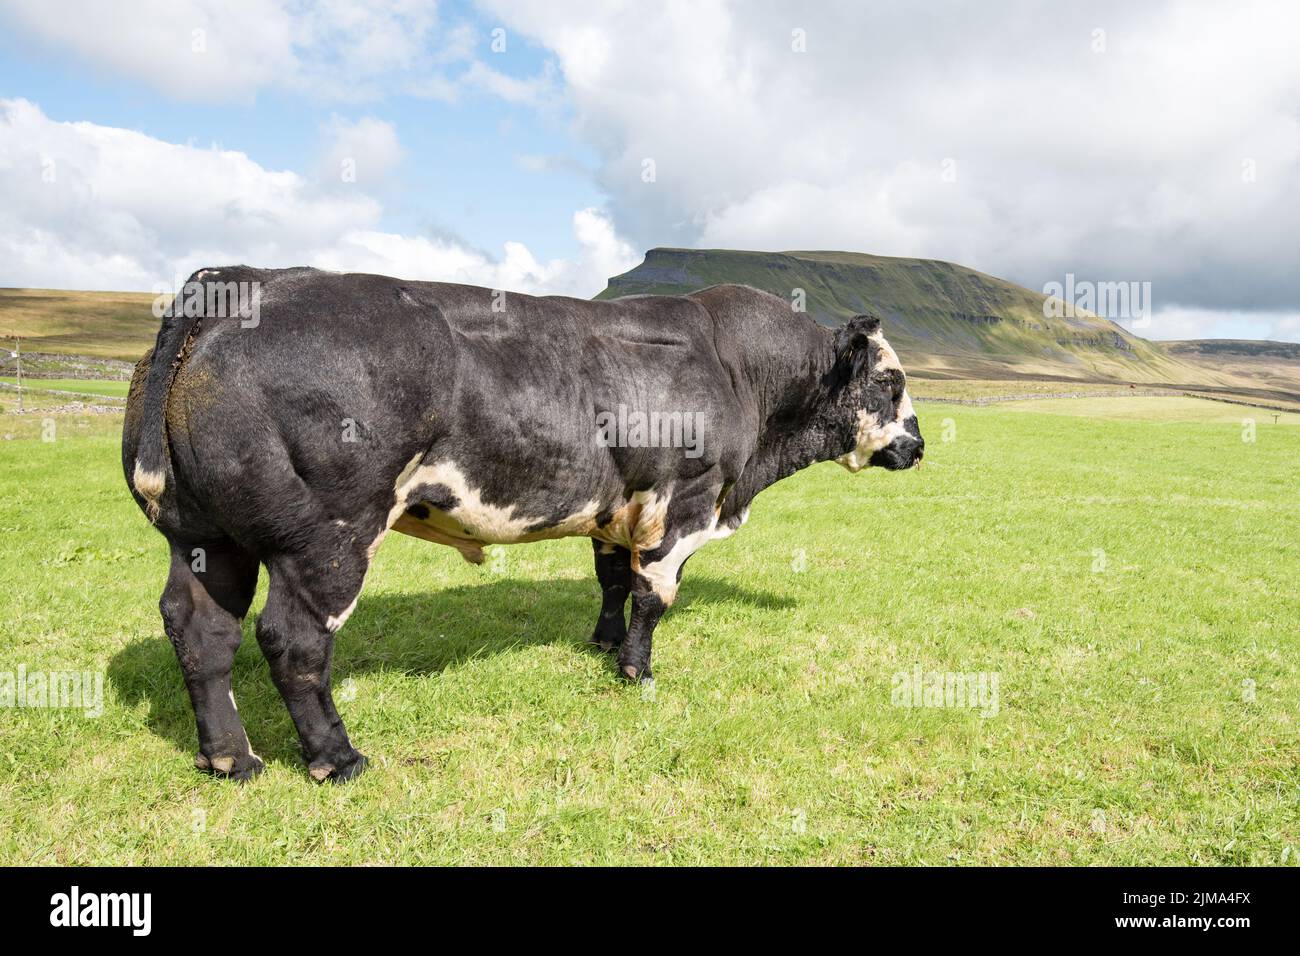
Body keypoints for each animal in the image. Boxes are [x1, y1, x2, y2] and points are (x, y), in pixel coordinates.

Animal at [123, 267, 923, 782]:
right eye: (890, 382)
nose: (918, 445)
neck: (739, 371)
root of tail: (246, 280)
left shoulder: (613, 506)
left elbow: (613, 582)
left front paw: (603, 643)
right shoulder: (685, 503)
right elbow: (655, 594)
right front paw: (637, 669)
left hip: (206, 539)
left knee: (201, 633)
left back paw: (232, 758)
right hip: (326, 539)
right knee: (293, 642)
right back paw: (337, 759)